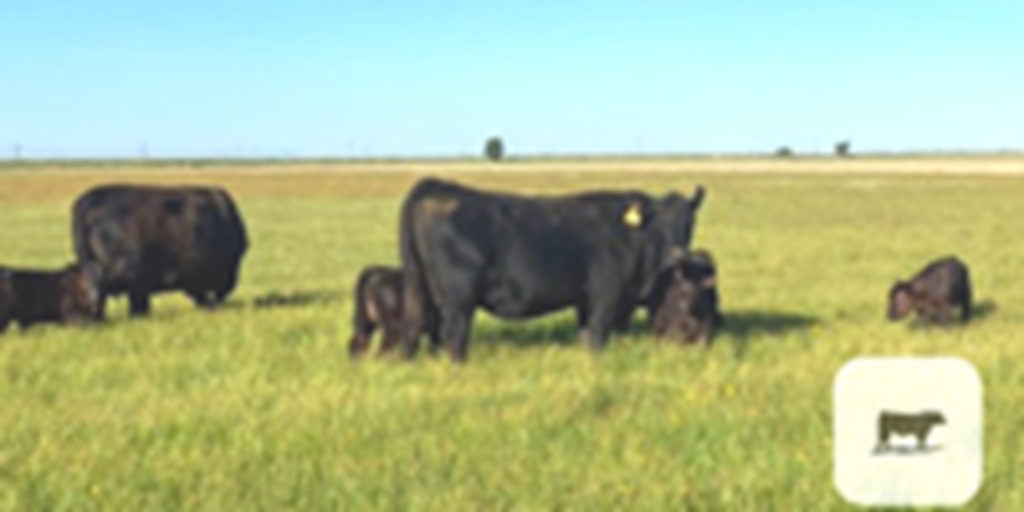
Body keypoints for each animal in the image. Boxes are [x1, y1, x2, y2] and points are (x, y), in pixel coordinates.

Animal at [397, 177, 706, 362]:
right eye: (658, 223)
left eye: (689, 221)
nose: (678, 254)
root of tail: (439, 186)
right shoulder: (606, 295)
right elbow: (598, 335)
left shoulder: (585, 299)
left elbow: (585, 335)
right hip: (458, 298)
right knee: (454, 334)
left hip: (422, 289)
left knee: (419, 327)